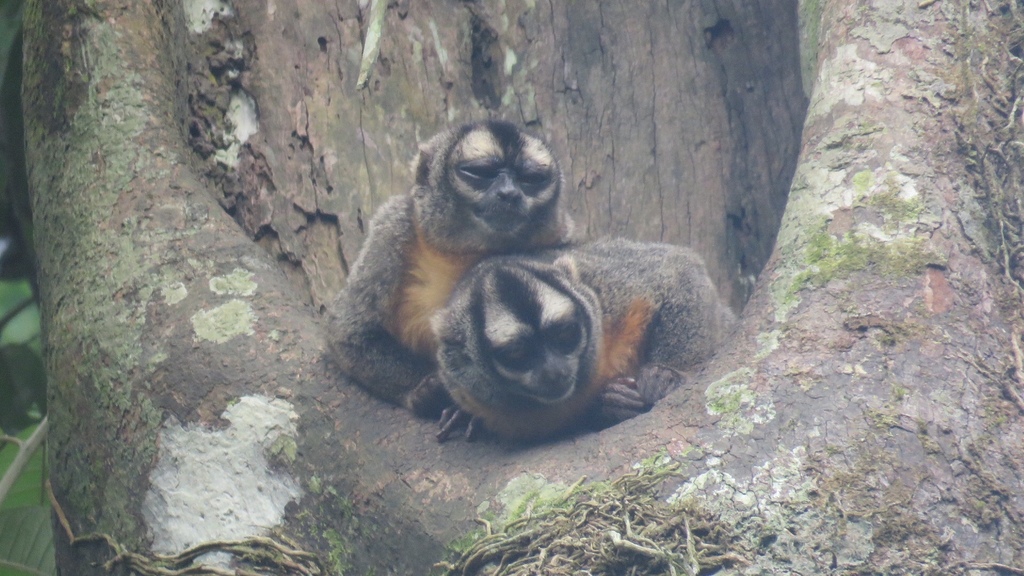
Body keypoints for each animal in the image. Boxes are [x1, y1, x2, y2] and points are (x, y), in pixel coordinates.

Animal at [325, 121, 574, 410]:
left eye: (531, 178)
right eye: (480, 172)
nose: (509, 193)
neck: (467, 250)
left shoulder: (562, 238)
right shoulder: (393, 226)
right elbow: (350, 332)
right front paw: (427, 390)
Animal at [427, 238, 735, 442]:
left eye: (564, 334)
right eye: (517, 354)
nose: (554, 371)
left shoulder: (609, 289)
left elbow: (677, 268)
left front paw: (665, 375)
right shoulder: (468, 388)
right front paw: (612, 403)